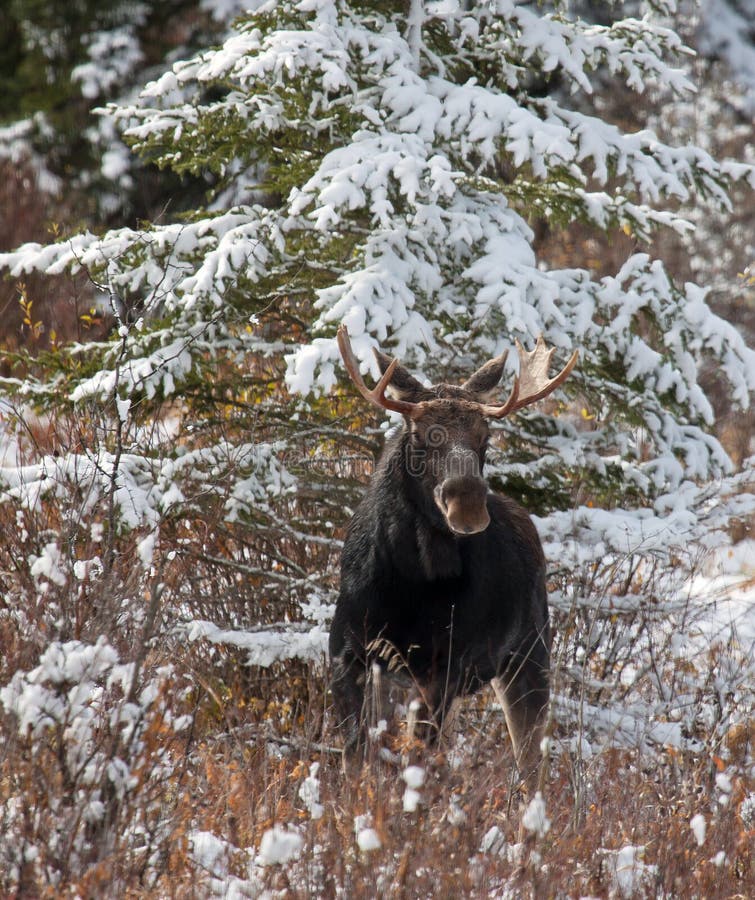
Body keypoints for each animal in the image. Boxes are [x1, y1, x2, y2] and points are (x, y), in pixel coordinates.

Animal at [329, 324, 578, 791]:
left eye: (486, 437)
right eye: (423, 435)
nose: (468, 503)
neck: (409, 586)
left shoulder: (444, 669)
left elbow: (414, 765)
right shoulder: (347, 652)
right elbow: (356, 759)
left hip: (530, 655)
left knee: (530, 763)